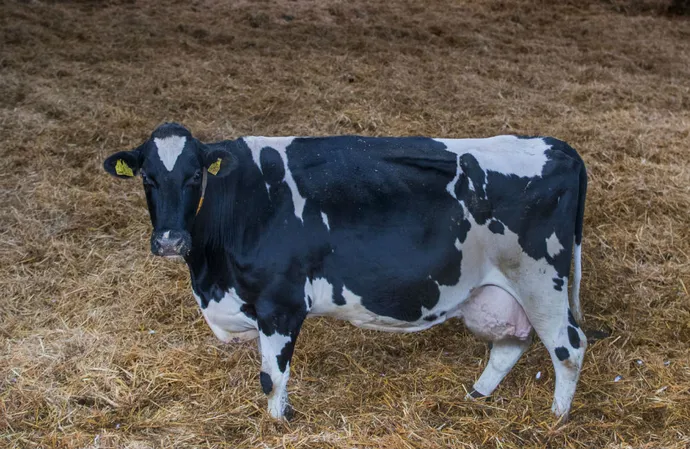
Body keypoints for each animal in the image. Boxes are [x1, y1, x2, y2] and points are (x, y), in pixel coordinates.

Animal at [103, 122, 587, 421]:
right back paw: (475, 395)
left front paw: (279, 422)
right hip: (499, 290)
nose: (170, 240)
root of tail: (557, 146)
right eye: (147, 177)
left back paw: (556, 420)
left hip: (541, 280)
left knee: (569, 347)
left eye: (194, 177)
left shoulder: (280, 304)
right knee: (510, 344)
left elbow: (271, 378)